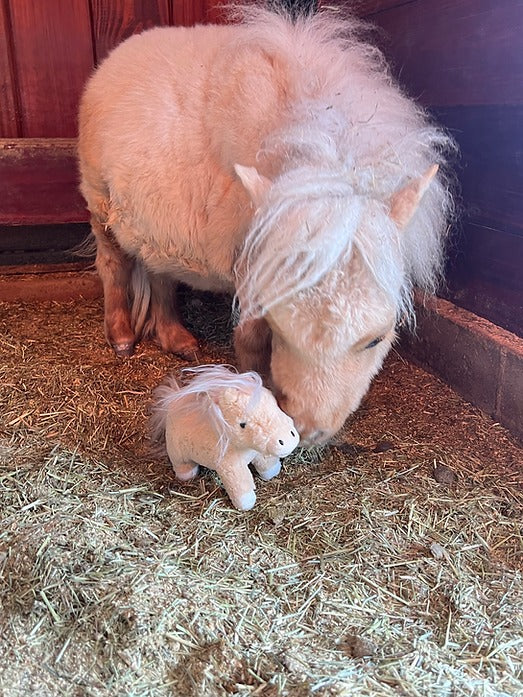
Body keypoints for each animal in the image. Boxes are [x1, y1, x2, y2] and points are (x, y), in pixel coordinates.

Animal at [78, 4, 455, 445]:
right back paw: (121, 335)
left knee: (158, 272)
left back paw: (176, 337)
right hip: (99, 200)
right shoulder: (247, 256)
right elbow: (251, 335)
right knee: (114, 265)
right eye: (281, 328)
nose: (308, 429)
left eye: (376, 339)